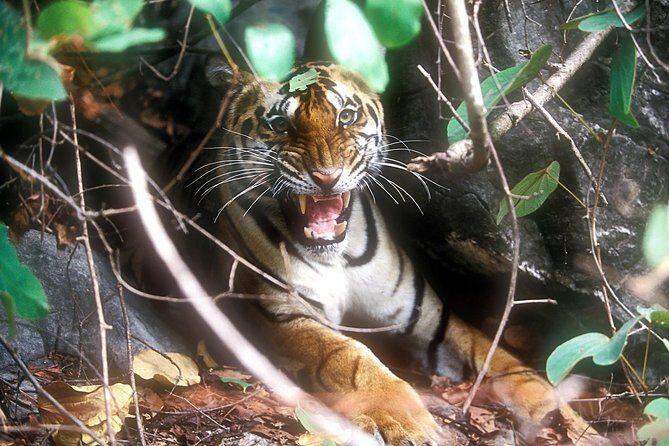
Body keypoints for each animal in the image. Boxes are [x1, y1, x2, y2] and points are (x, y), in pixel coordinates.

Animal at [192, 60, 607, 445]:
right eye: (278, 123)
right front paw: (405, 421)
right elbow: (350, 356)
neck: (336, 258)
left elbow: (502, 360)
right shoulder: (285, 315)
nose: (326, 176)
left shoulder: (431, 319)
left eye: (346, 116)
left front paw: (571, 420)